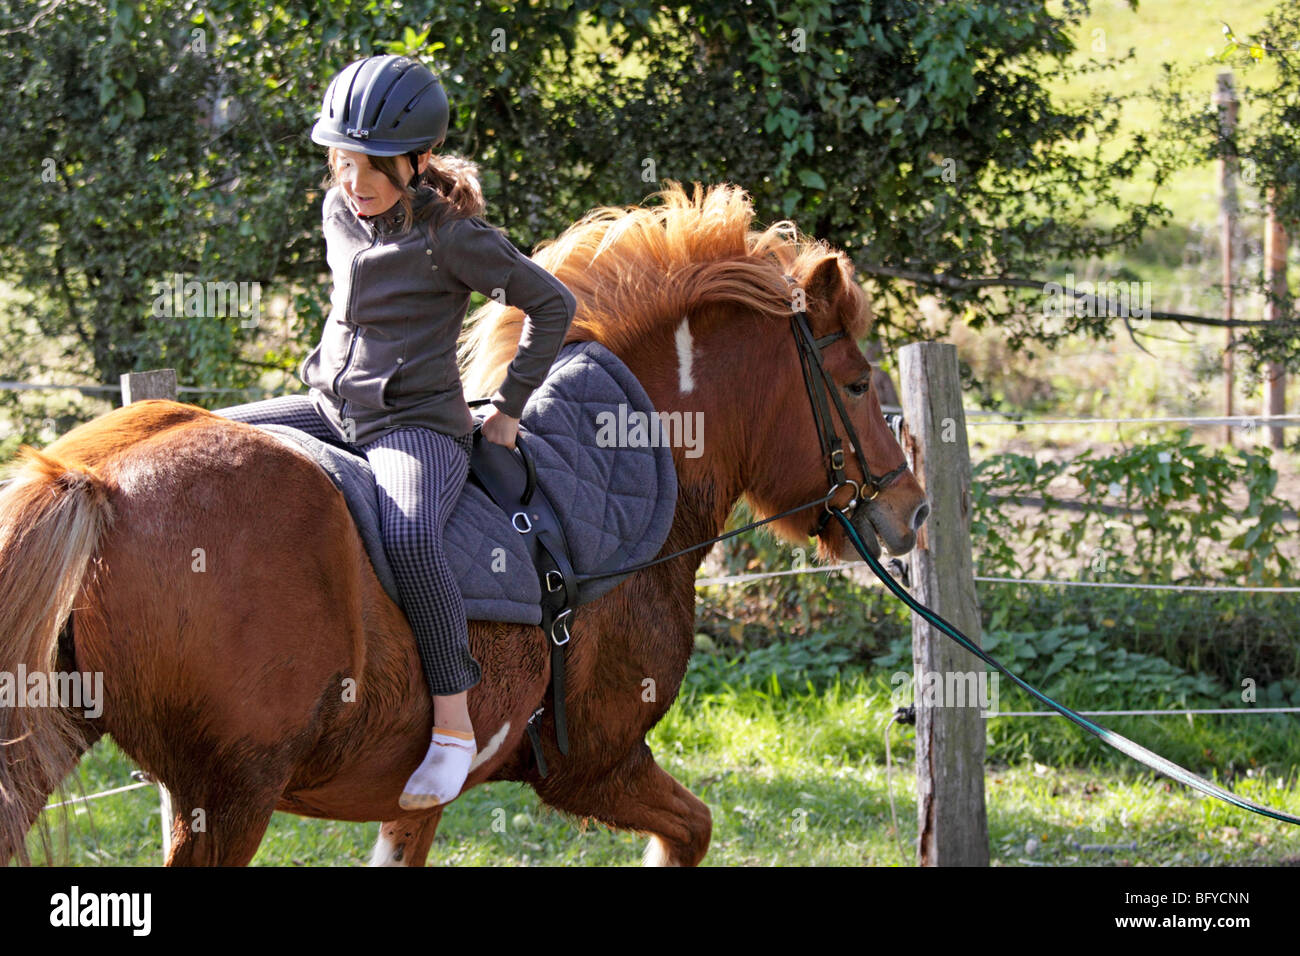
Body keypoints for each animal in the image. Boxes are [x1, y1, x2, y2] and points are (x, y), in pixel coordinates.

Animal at [0, 180, 929, 866]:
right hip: (224, 800)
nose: (909, 508)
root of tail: (93, 479)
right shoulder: (597, 765)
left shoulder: (416, 805)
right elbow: (691, 830)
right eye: (854, 383)